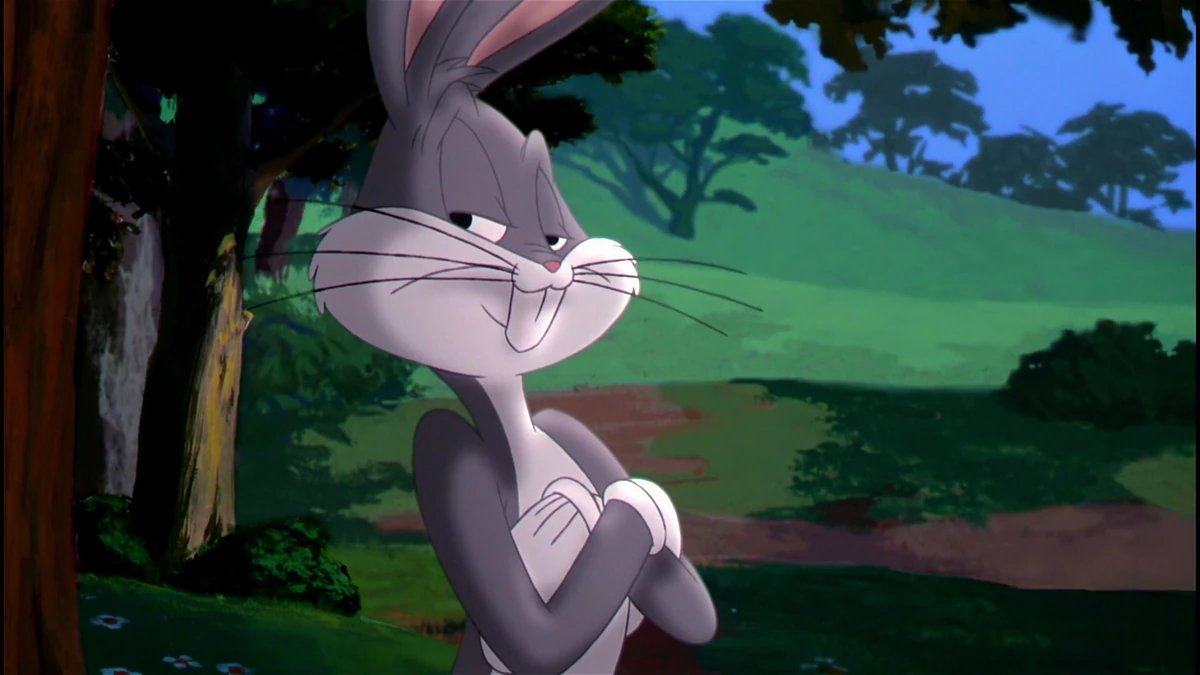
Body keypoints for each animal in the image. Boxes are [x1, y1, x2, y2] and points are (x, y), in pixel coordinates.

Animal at [308, 1, 718, 673]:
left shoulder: (566, 424)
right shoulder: (441, 443)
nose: (550, 263)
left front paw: (631, 505)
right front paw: (593, 509)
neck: (518, 430)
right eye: (470, 221)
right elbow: (534, 636)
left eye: (554, 235)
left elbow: (693, 609)